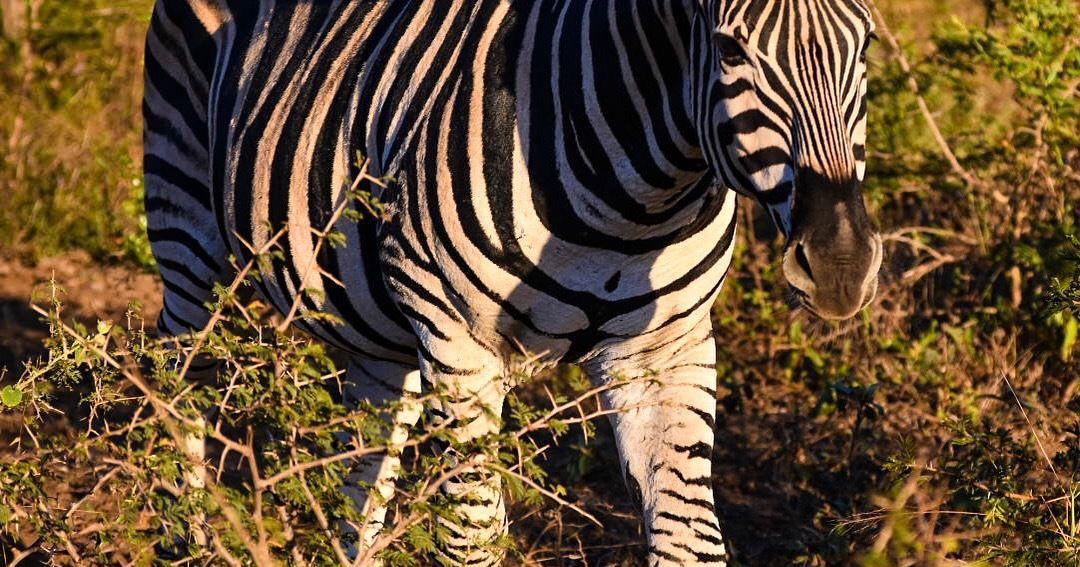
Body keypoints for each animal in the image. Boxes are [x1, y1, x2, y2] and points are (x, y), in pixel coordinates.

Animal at [143, 0, 883, 564]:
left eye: (867, 41)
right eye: (730, 50)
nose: (842, 266)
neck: (641, 203)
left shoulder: (668, 349)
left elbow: (690, 541)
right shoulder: (458, 342)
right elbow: (471, 538)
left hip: (376, 324)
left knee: (366, 467)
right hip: (186, 212)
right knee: (180, 386)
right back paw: (186, 538)